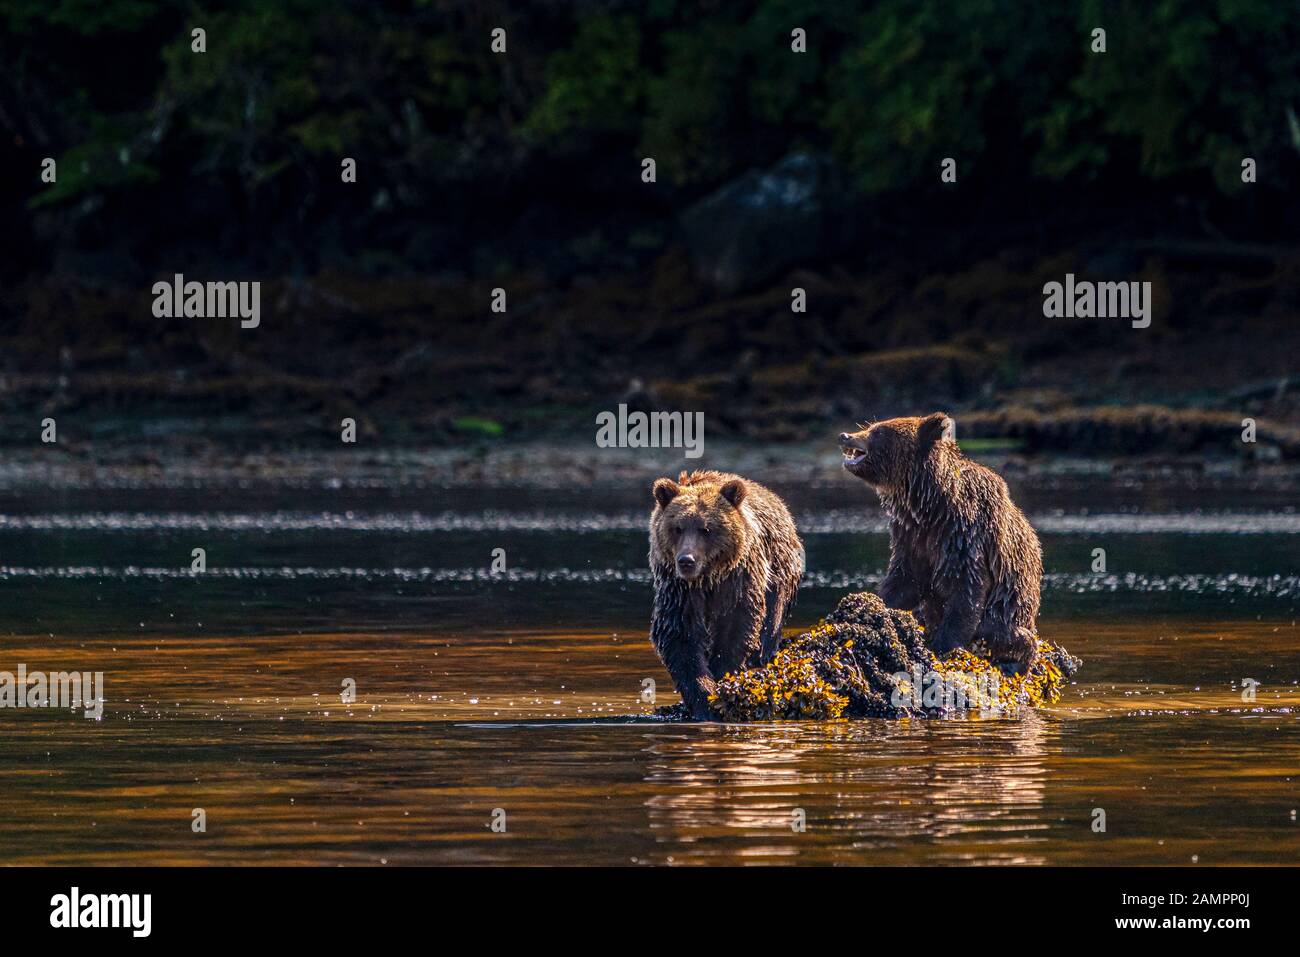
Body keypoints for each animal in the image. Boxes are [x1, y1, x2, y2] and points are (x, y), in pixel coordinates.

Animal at [648, 470, 804, 719]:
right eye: (677, 528)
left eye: (706, 529)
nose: (686, 560)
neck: (708, 578)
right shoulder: (678, 590)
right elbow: (678, 636)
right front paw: (703, 697)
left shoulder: (738, 580)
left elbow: (737, 626)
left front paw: (723, 680)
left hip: (779, 567)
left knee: (773, 615)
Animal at [839, 412, 1042, 670]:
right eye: (872, 426)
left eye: (879, 431)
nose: (845, 435)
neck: (932, 507)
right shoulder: (912, 537)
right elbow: (904, 581)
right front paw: (868, 606)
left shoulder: (965, 537)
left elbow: (967, 594)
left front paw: (942, 647)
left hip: (1012, 605)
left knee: (1008, 633)